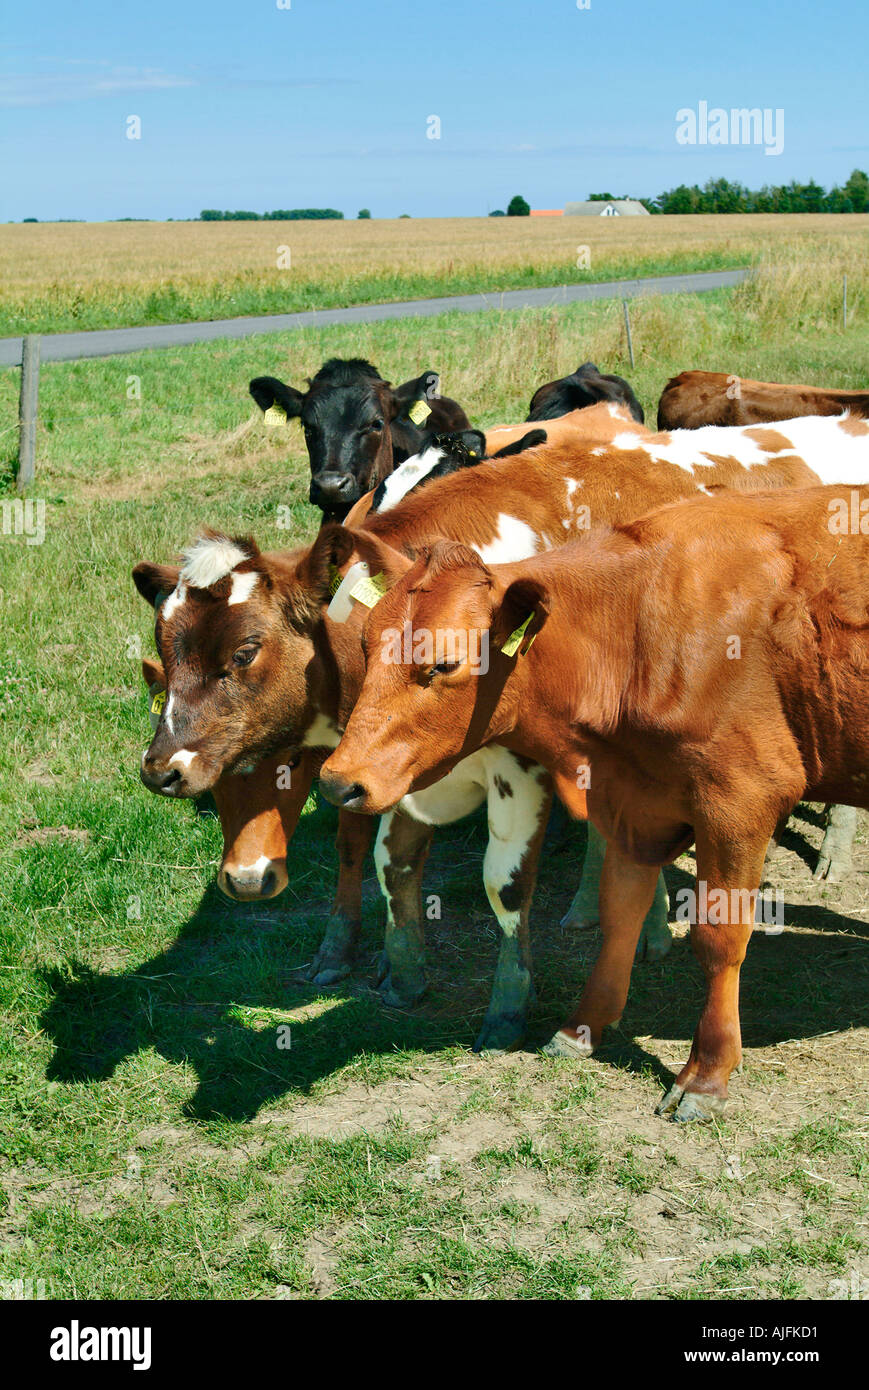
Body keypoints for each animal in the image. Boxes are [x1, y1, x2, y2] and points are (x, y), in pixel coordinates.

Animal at [132, 414, 868, 1048]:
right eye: (165, 655)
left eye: (244, 651)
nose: (161, 768)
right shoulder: (399, 764)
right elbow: (391, 861)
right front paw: (403, 969)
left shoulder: (522, 766)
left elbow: (502, 883)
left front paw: (509, 1004)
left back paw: (831, 848)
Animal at [318, 486, 869, 1122]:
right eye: (364, 645)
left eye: (444, 664)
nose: (338, 782)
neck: (636, 626)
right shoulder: (634, 800)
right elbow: (619, 913)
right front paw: (583, 1028)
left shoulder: (740, 800)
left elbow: (719, 938)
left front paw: (706, 1074)